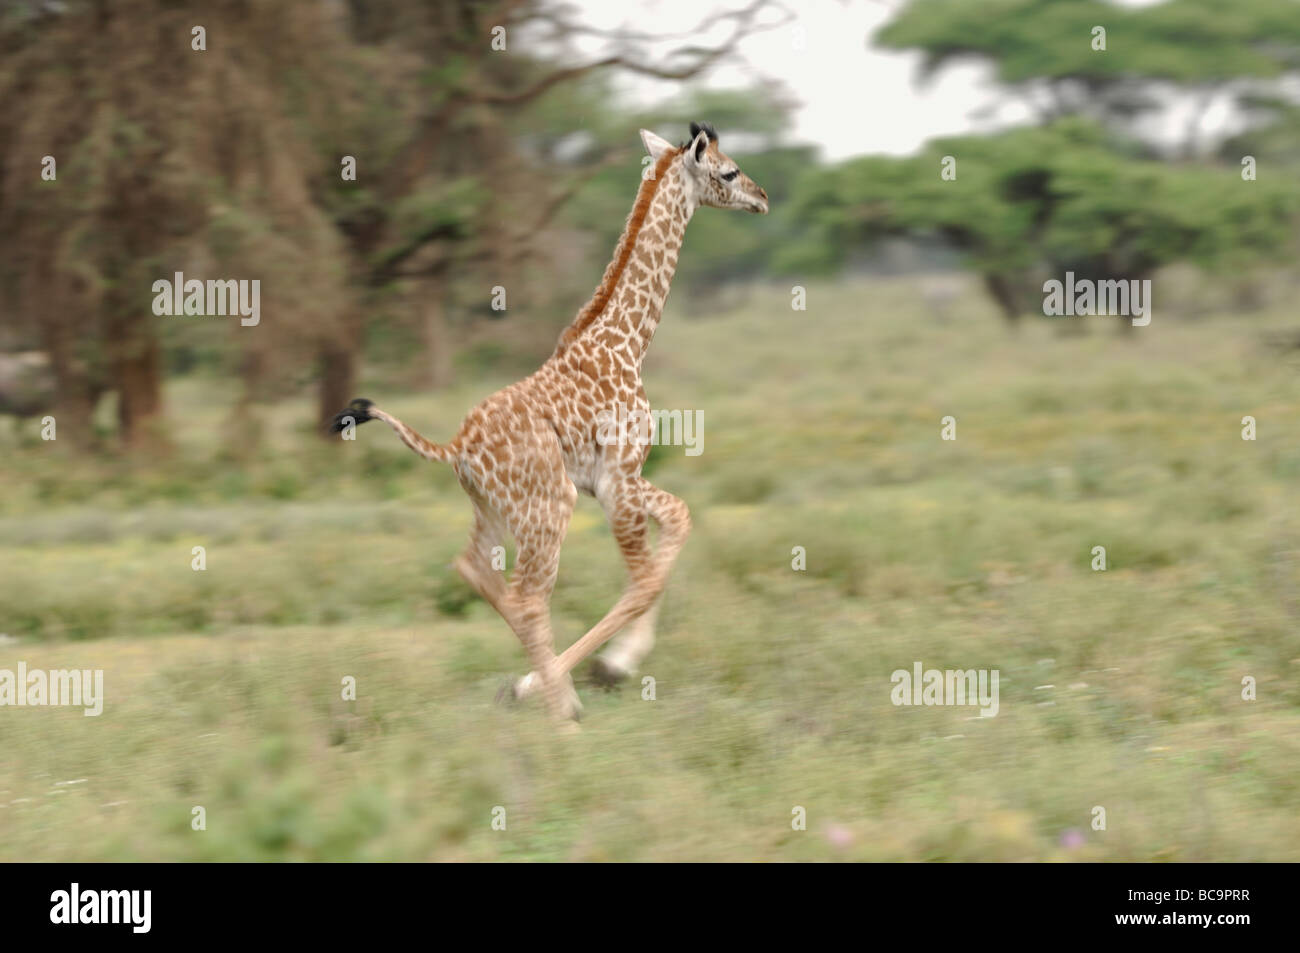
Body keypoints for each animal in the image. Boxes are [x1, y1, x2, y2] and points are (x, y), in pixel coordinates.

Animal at [332, 122, 768, 726]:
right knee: (527, 597)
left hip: (494, 510)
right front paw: (609, 667)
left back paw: (538, 691)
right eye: (728, 172)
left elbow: (676, 525)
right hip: (548, 507)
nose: (762, 198)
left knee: (475, 570)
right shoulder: (617, 480)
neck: (627, 344)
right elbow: (645, 579)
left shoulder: (611, 482)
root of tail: (455, 447)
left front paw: (580, 673)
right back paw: (565, 717)